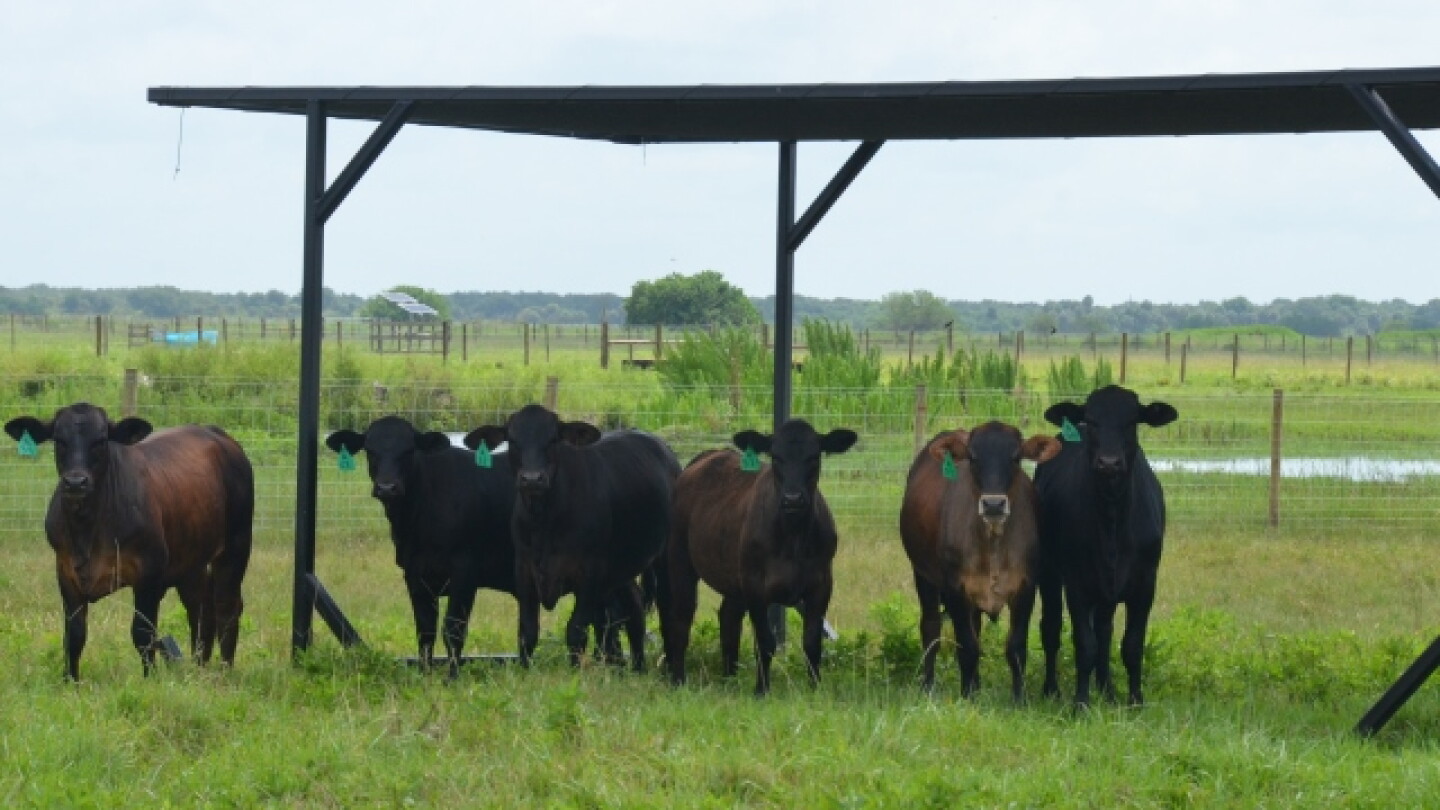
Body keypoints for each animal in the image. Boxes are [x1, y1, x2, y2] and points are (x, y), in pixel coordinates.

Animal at [5, 403, 253, 681]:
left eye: (101, 440)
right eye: (59, 440)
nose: (76, 482)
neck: (87, 529)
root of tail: (217, 434)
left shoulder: (149, 574)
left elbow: (143, 634)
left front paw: (150, 678)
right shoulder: (66, 573)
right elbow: (74, 635)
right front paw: (70, 681)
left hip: (236, 546)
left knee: (227, 606)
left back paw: (224, 670)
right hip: (191, 561)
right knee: (200, 609)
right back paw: (198, 667)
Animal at [464, 404, 679, 671]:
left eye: (553, 439)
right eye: (512, 440)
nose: (532, 478)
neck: (544, 522)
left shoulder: (589, 574)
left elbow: (576, 631)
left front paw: (575, 671)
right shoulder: (524, 571)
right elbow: (527, 631)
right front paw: (524, 669)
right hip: (622, 566)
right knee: (633, 605)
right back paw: (634, 666)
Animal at [659, 419, 857, 695]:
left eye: (814, 456)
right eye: (775, 456)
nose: (793, 499)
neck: (793, 536)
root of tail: (709, 455)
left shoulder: (822, 585)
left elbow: (812, 642)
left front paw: (814, 688)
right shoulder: (755, 585)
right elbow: (765, 641)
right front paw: (761, 690)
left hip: (733, 577)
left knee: (729, 617)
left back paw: (729, 679)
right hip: (680, 559)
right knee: (682, 616)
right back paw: (679, 679)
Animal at [899, 422, 1060, 700]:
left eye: (1016, 457)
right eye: (973, 457)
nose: (993, 504)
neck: (993, 541)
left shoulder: (1026, 588)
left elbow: (1016, 648)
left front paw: (1019, 699)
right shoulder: (955, 589)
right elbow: (967, 647)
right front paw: (967, 698)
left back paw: (976, 683)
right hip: (922, 575)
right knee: (930, 628)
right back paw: (929, 685)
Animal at [1034, 384, 1178, 707]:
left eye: (1132, 421)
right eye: (1092, 420)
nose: (1109, 462)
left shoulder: (1146, 584)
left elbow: (1132, 645)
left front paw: (1135, 701)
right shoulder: (1076, 583)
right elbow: (1084, 644)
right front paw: (1081, 703)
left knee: (1104, 629)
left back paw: (1107, 690)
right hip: (1049, 572)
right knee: (1051, 628)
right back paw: (1051, 689)